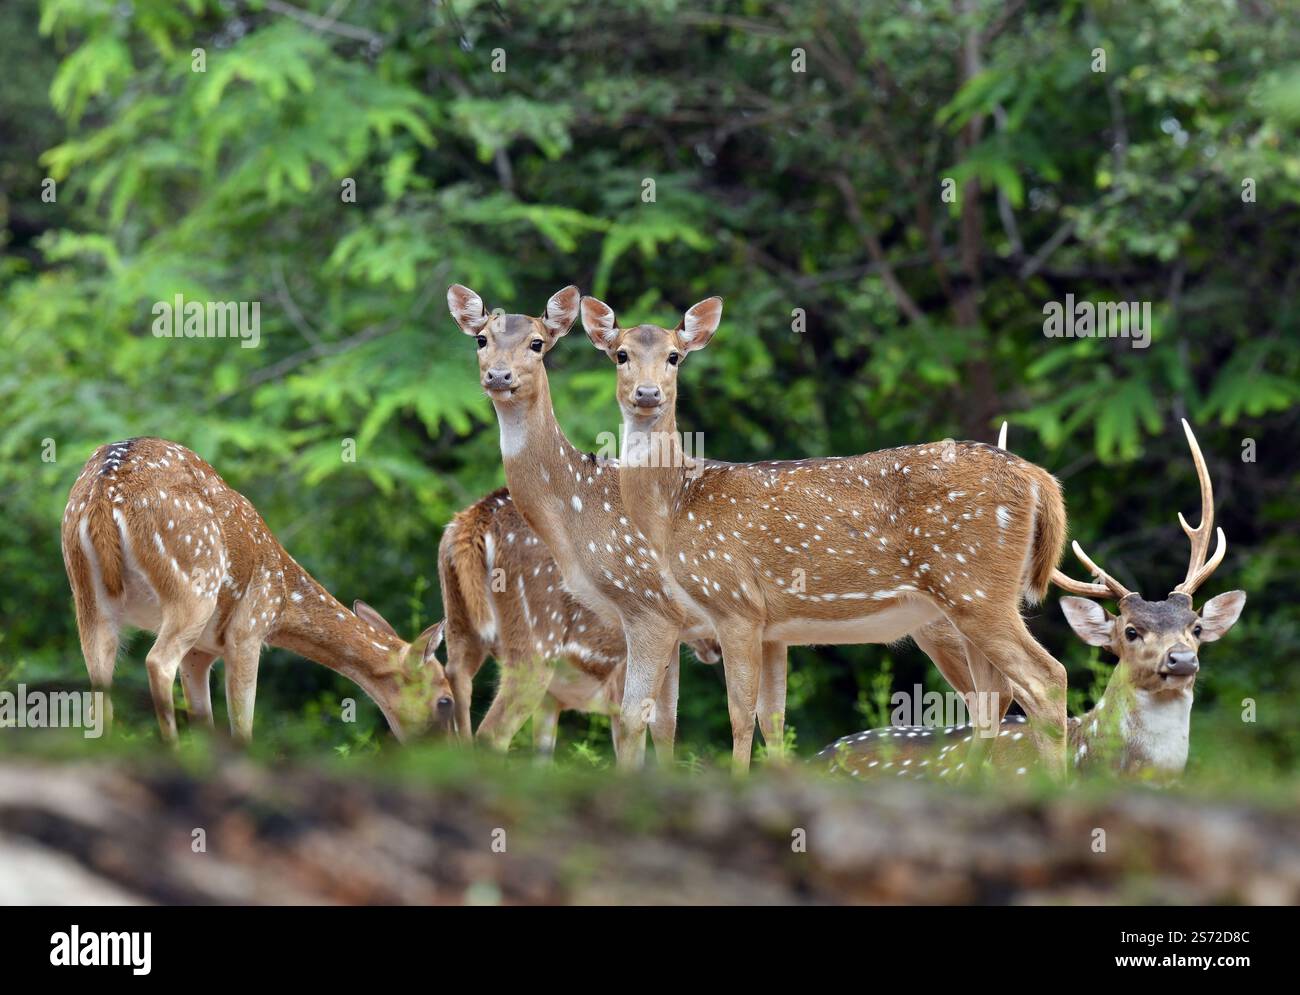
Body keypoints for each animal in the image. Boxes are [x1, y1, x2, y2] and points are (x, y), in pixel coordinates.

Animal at [60, 438, 454, 744]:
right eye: (445, 701)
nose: (453, 752)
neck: (284, 601)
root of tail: (105, 492)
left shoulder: (201, 651)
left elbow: (205, 720)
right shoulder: (248, 629)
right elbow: (243, 727)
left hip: (87, 597)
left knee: (99, 686)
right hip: (193, 585)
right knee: (157, 662)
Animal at [439, 486, 721, 756]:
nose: (717, 646)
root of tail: (478, 516)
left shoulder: (551, 702)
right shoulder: (618, 692)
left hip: (459, 624)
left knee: (457, 685)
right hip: (536, 642)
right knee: (492, 731)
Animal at [580, 295, 1072, 774]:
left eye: (674, 356)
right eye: (620, 354)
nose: (647, 394)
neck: (677, 506)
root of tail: (1038, 478)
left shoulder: (735, 602)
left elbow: (739, 715)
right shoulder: (768, 627)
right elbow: (769, 717)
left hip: (974, 585)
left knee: (1045, 679)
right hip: (970, 599)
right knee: (995, 695)